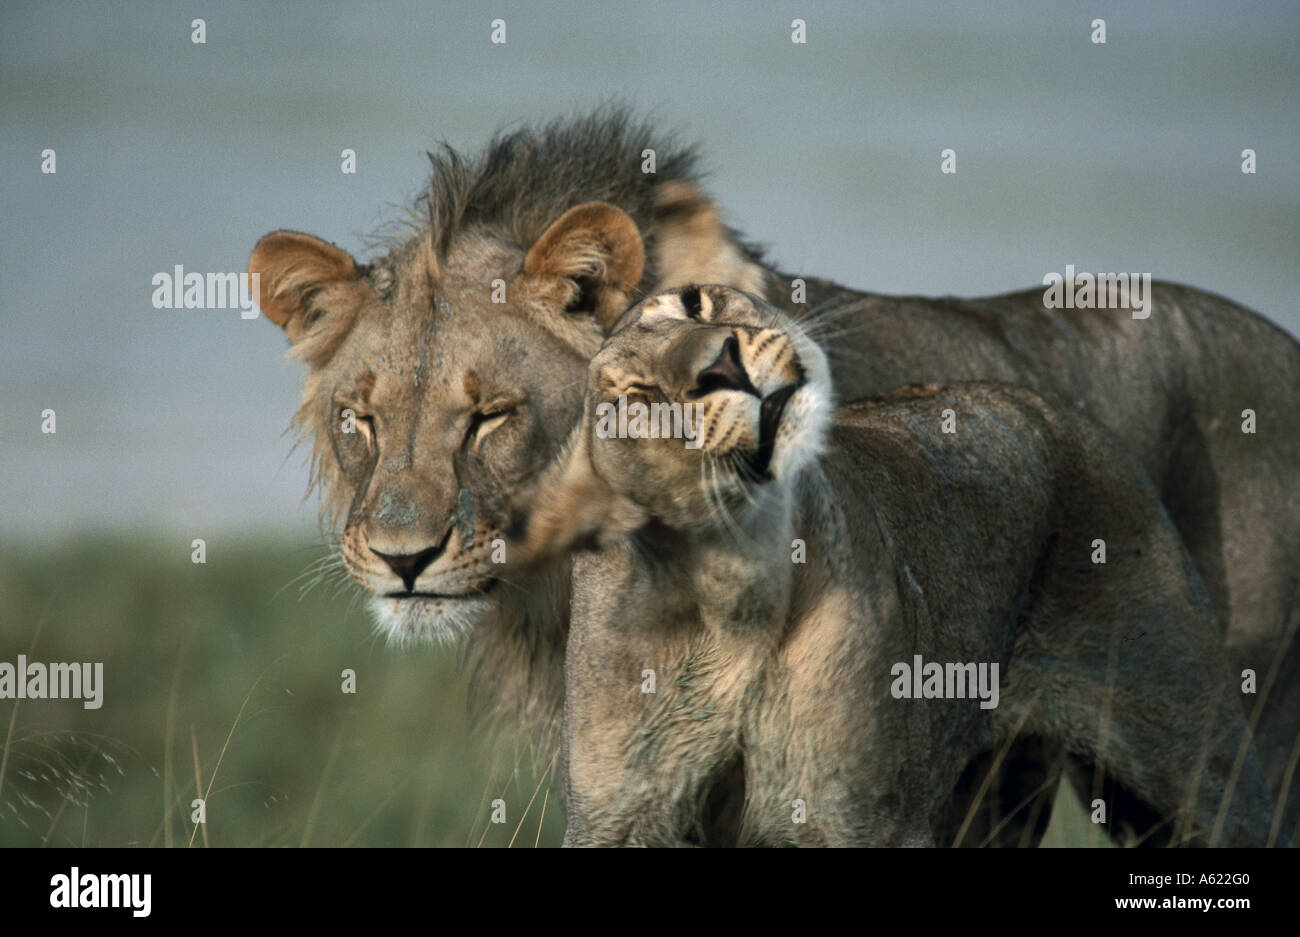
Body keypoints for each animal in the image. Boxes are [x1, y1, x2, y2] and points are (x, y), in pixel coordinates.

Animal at [509, 284, 1281, 847]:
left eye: (697, 305)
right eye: (637, 398)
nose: (720, 363)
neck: (732, 588)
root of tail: (1055, 405)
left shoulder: (857, 822)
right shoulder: (619, 819)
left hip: (1200, 761)